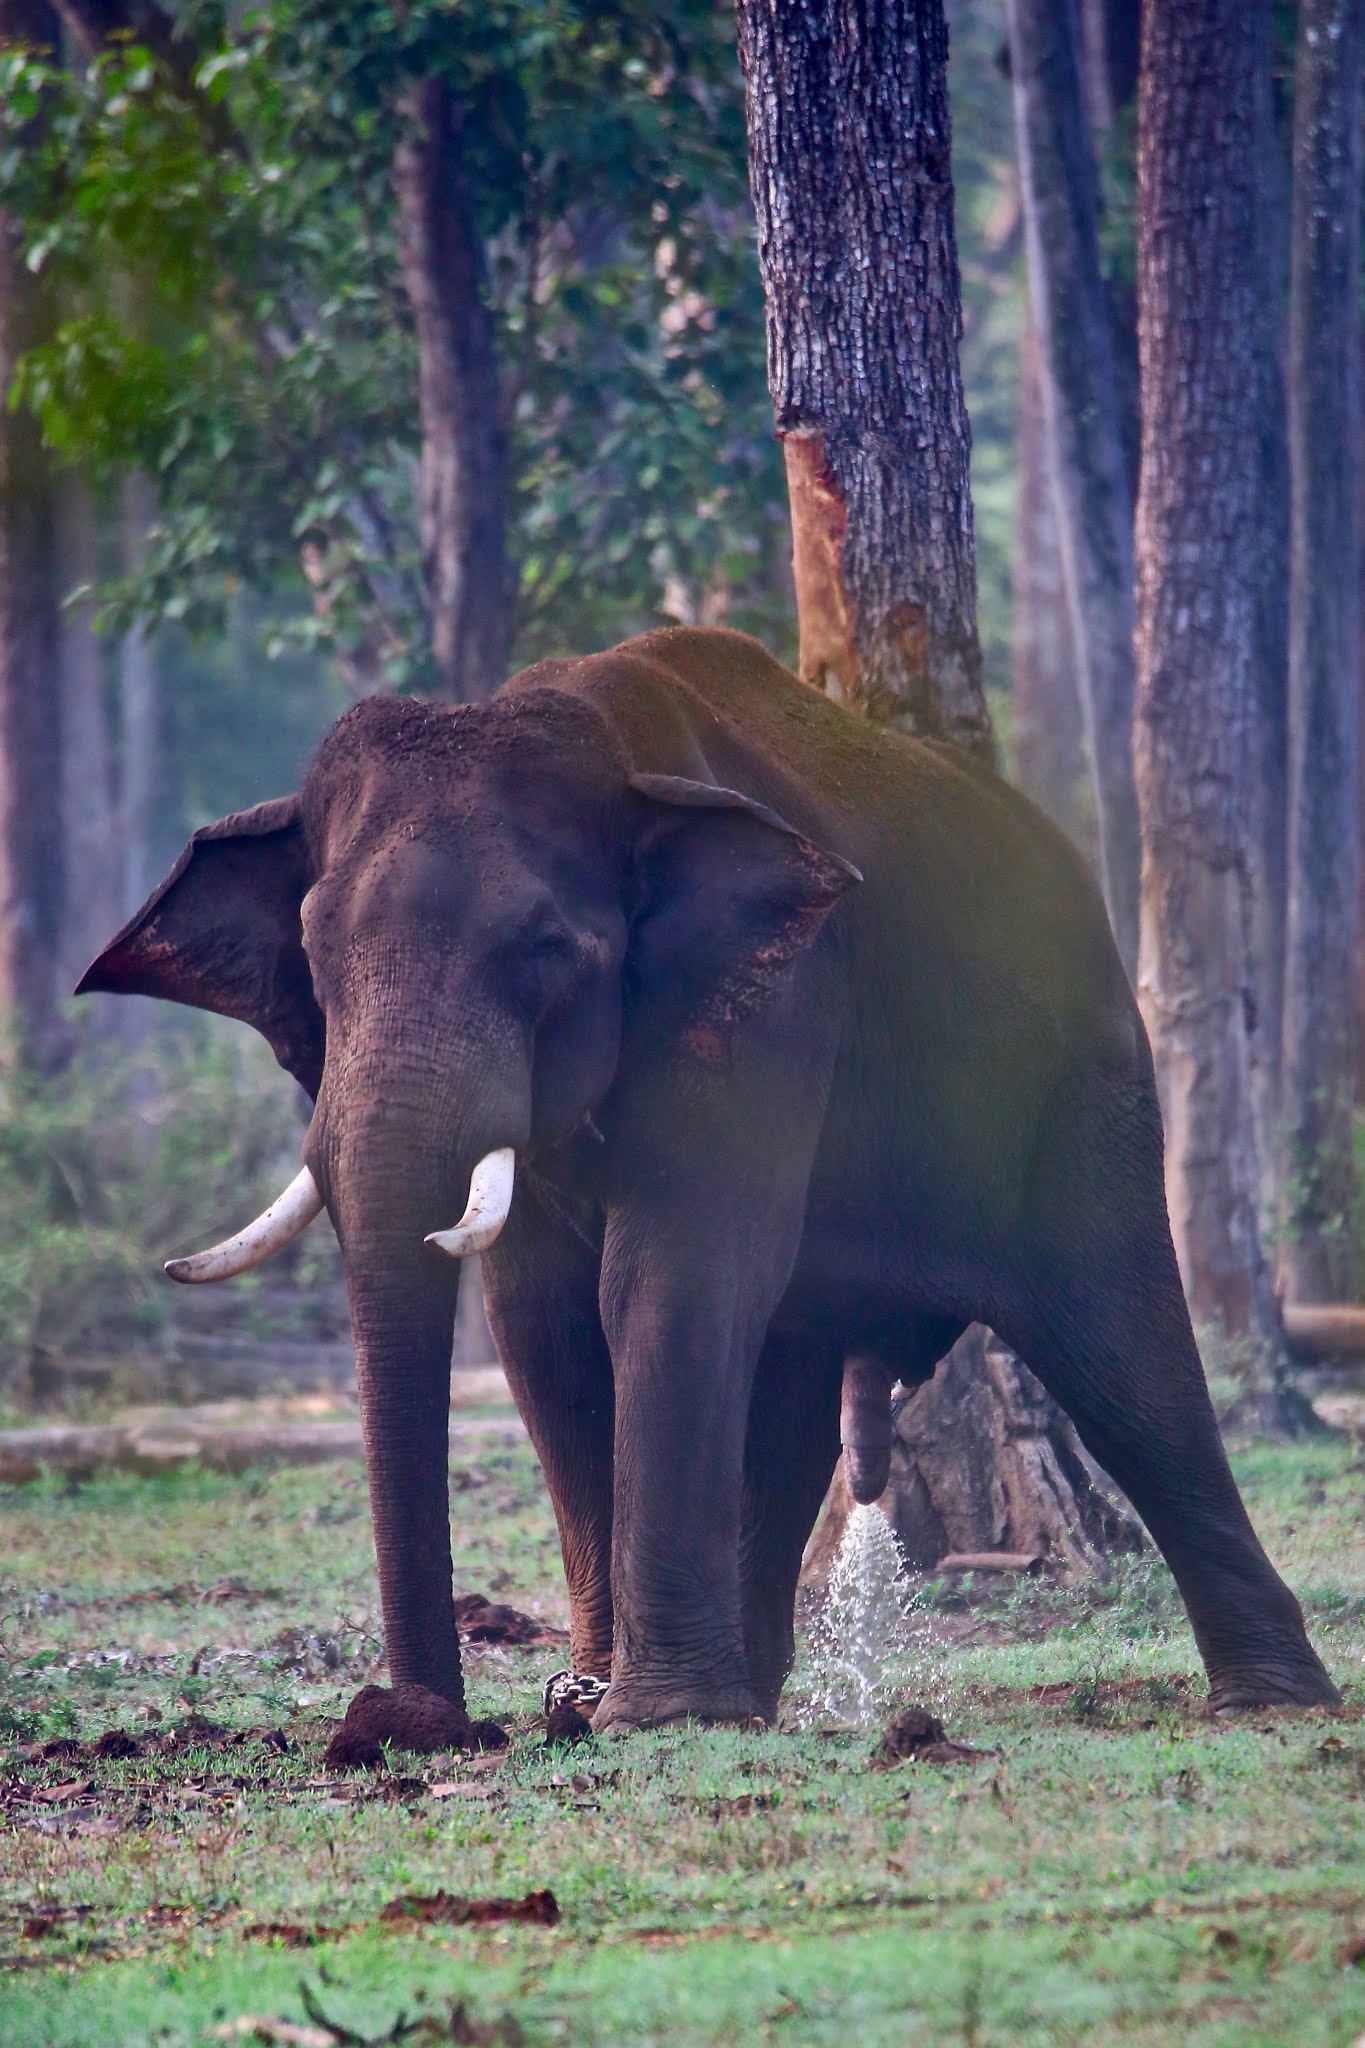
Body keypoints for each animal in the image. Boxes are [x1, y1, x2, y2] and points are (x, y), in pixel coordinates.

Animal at [77, 625, 1338, 1739]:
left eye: (545, 947)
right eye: (315, 950)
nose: (413, 1724)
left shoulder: (773, 1005)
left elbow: (663, 1279)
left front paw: (643, 1714)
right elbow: (540, 1317)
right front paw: (588, 1704)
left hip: (1086, 1088)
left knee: (1127, 1358)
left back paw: (1272, 1701)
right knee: (791, 1381)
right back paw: (756, 1694)